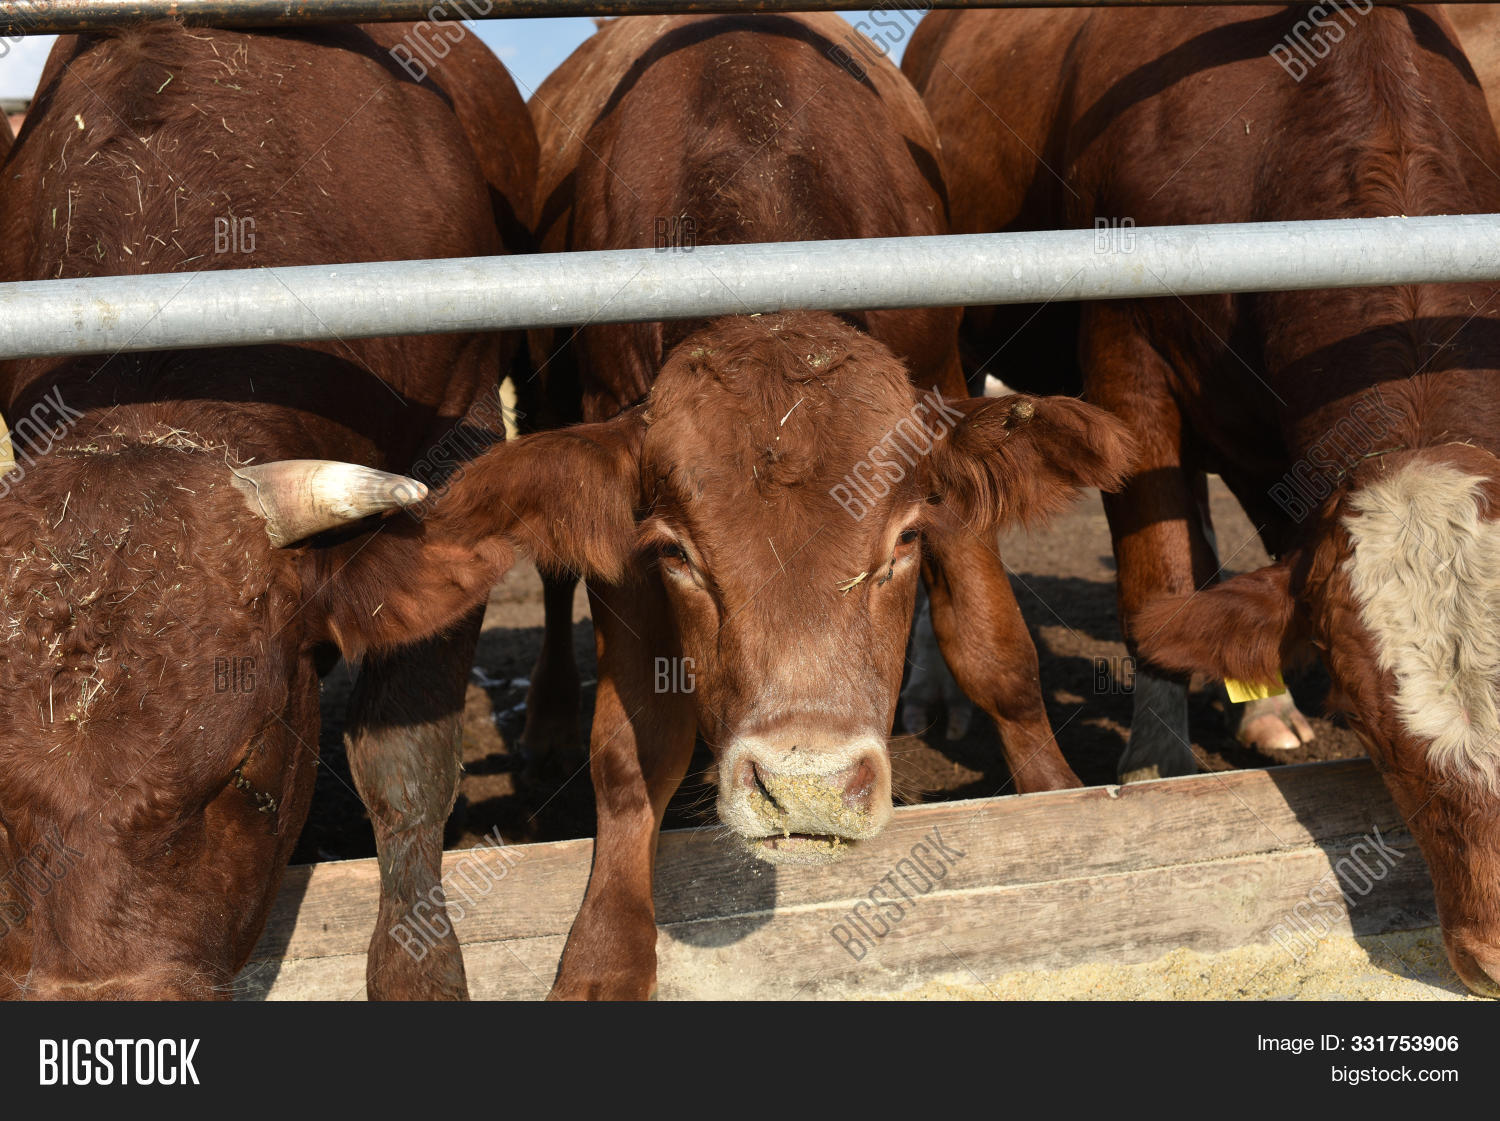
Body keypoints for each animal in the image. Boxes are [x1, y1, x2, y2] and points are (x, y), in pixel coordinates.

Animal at [419, 13, 1134, 999]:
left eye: (903, 541)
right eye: (680, 554)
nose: (805, 787)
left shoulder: (944, 386)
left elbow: (998, 652)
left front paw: (1060, 805)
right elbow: (630, 748)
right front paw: (607, 944)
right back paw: (551, 720)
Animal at [905, 6, 1500, 996]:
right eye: (1374, 733)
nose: (1492, 955)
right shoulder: (1127, 353)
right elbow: (1154, 575)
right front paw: (1158, 763)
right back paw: (926, 690)